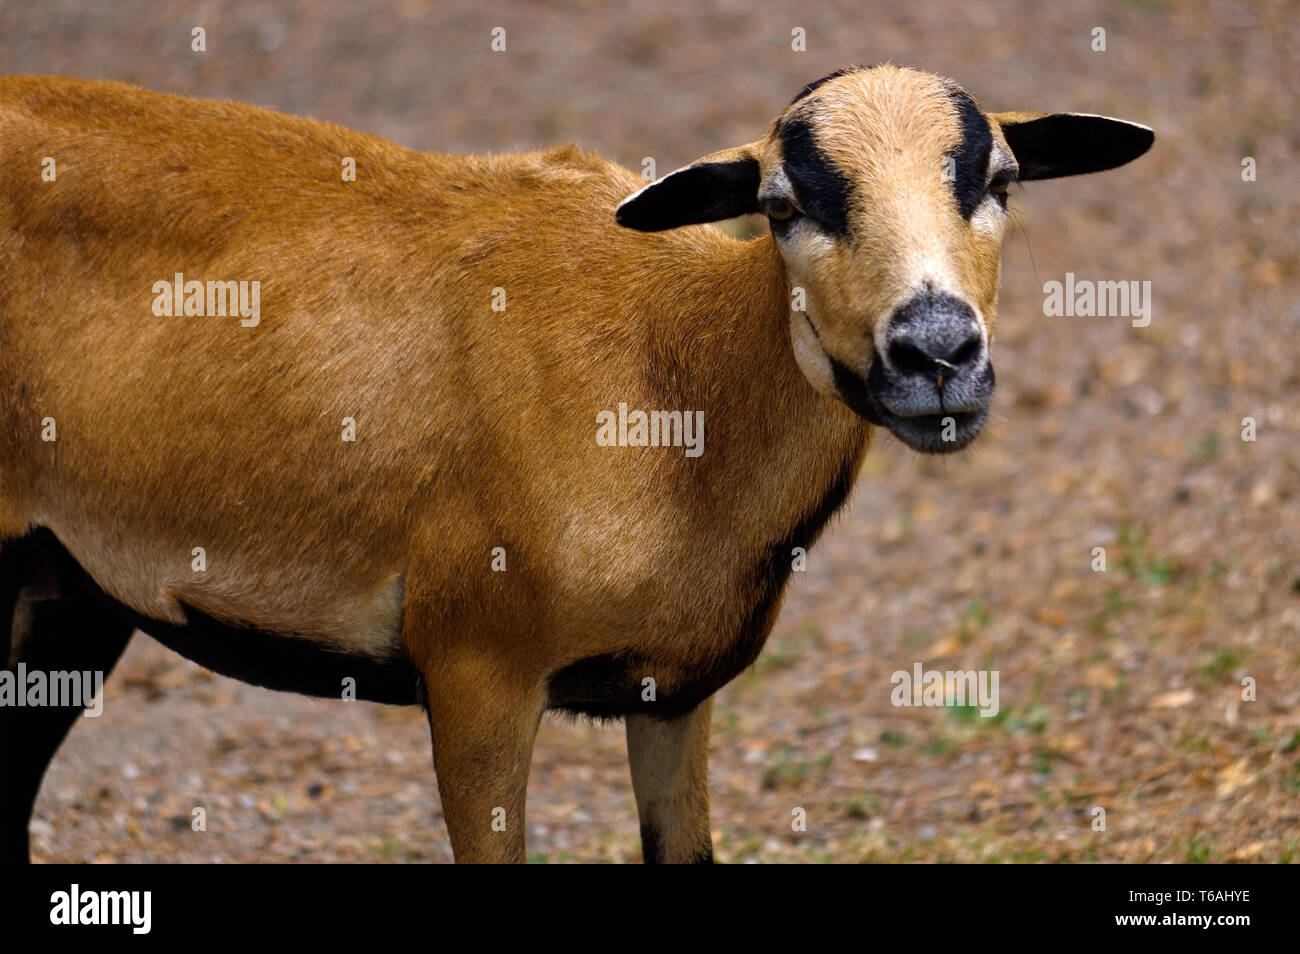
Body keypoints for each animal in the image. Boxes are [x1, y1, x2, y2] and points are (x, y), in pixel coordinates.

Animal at [0, 65, 1152, 863]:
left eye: (999, 180)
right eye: (782, 204)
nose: (938, 354)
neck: (674, 380)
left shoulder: (677, 692)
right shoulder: (476, 669)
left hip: (66, 588)